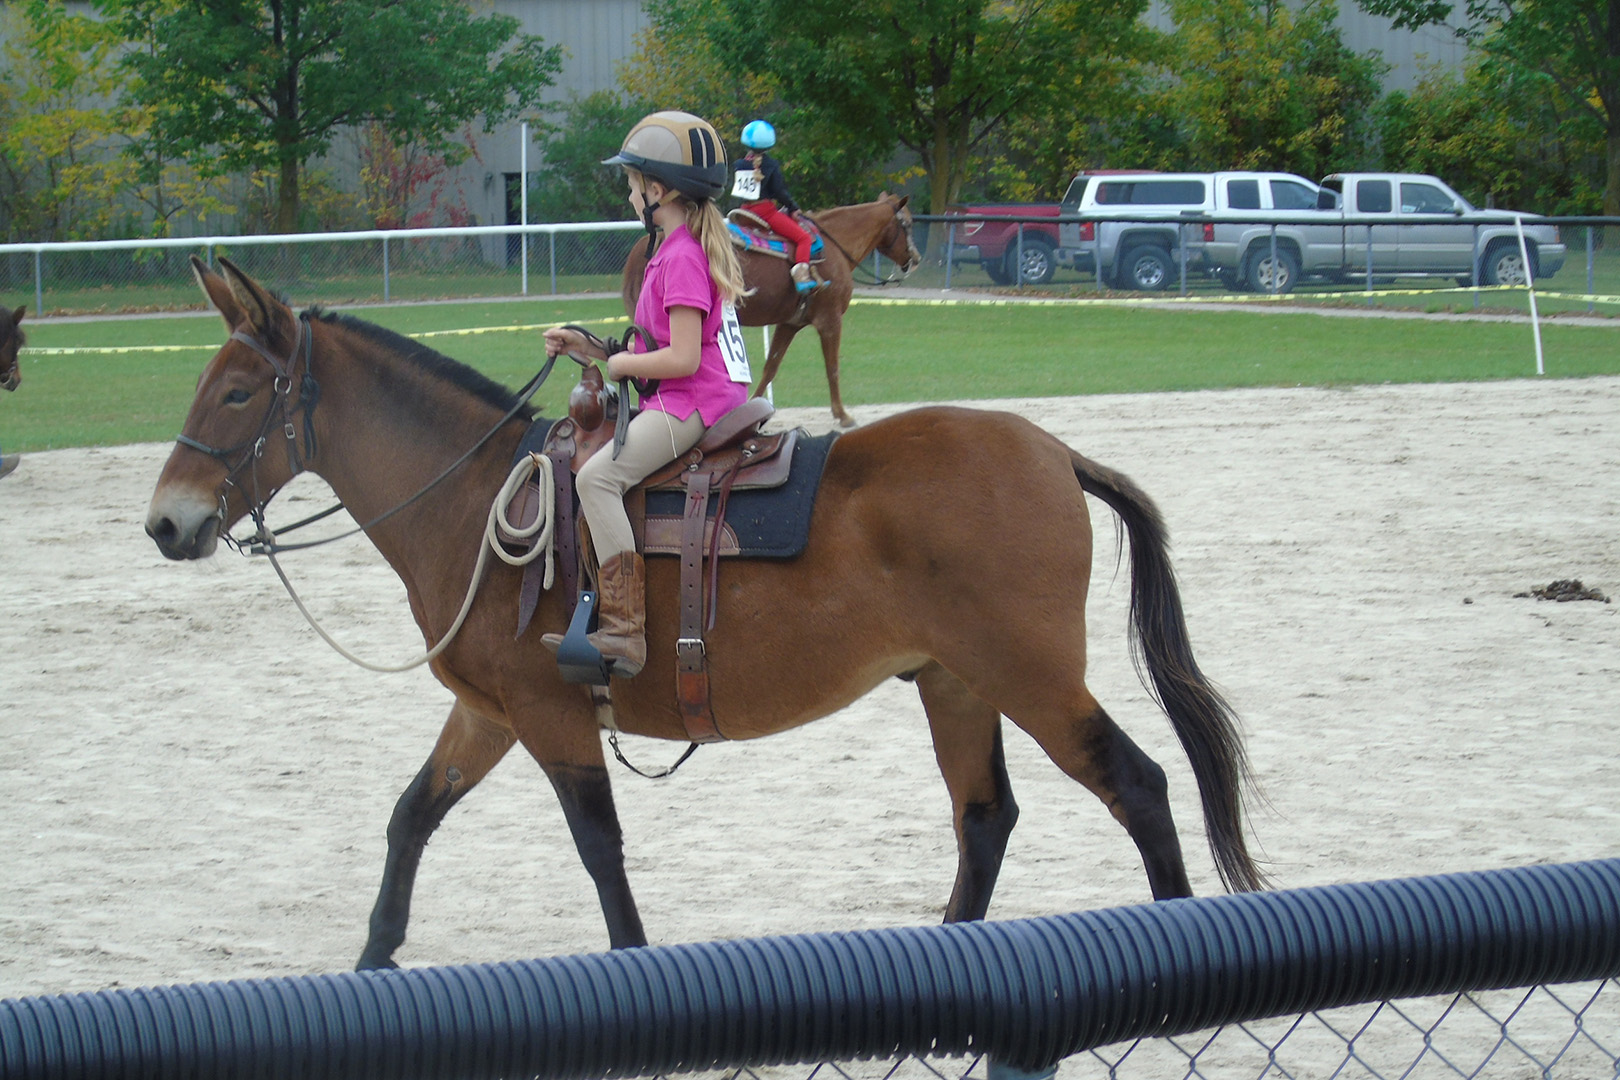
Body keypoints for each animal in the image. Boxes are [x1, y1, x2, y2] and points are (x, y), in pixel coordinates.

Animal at [146, 257, 1264, 971]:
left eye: (239, 394)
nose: (167, 522)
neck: (475, 502)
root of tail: (1053, 452)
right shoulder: (488, 716)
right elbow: (410, 819)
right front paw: (372, 962)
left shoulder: (549, 718)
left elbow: (598, 848)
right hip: (955, 683)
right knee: (986, 816)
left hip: (1030, 676)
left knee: (1138, 785)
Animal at [622, 193, 920, 428]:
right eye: (907, 223)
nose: (915, 258)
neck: (833, 247)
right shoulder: (830, 320)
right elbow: (832, 367)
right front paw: (843, 415)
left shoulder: (789, 324)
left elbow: (771, 367)